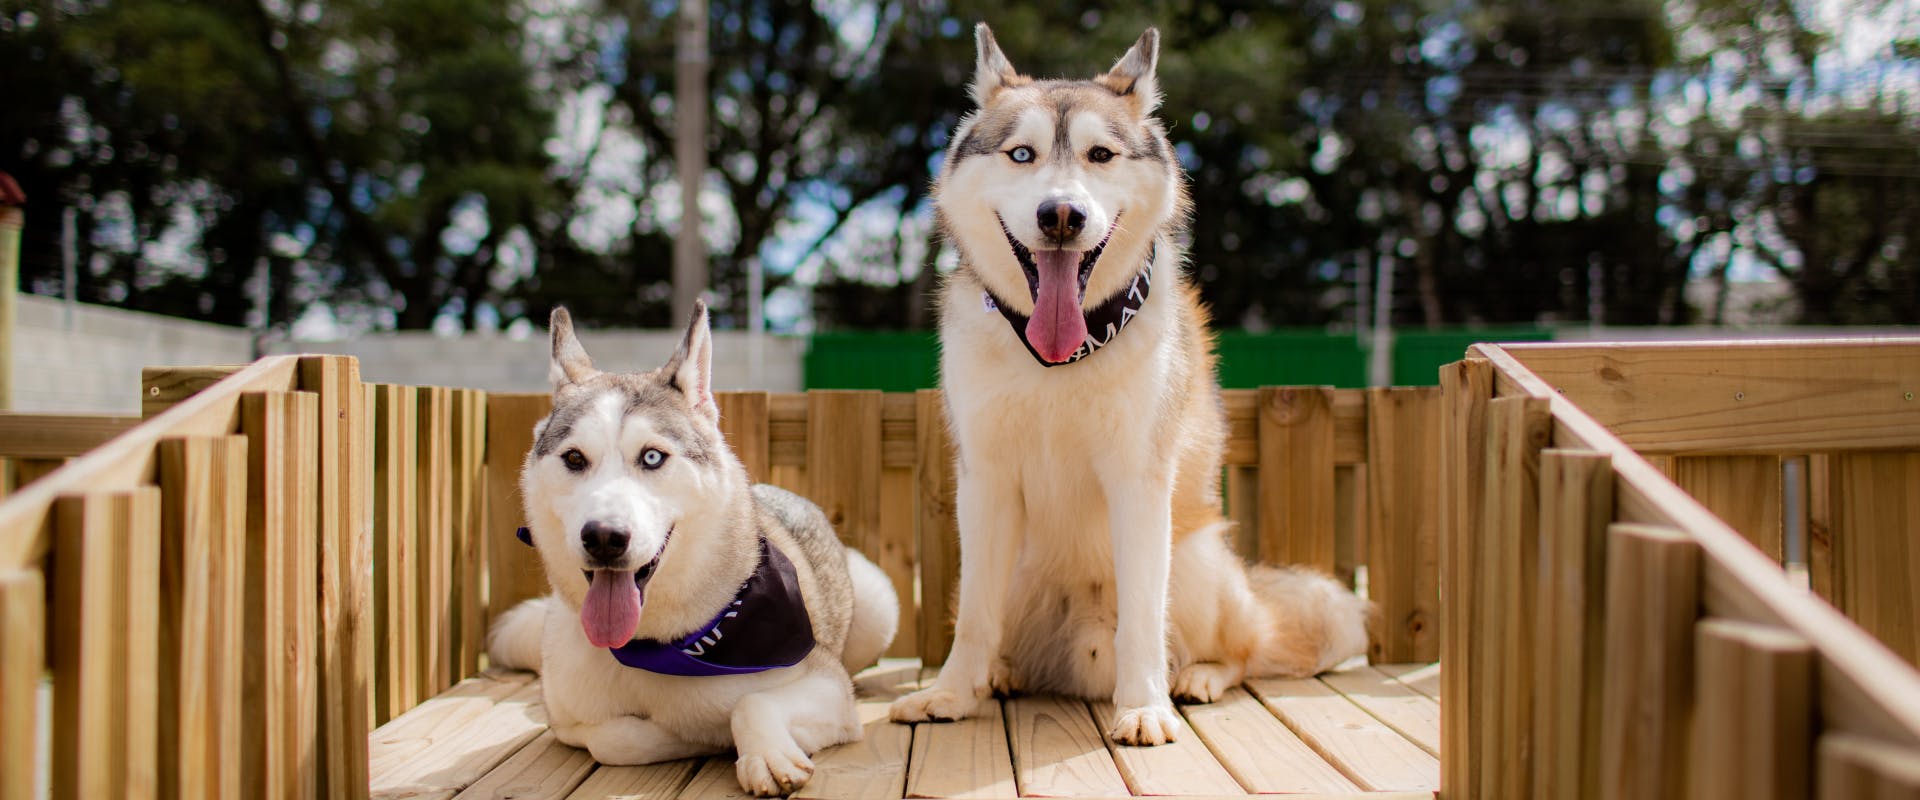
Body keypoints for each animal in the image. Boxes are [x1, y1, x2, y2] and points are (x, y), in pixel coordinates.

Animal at [483, 303, 894, 790]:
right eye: (575, 459)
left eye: (652, 457)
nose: (603, 537)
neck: (662, 645)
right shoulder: (565, 721)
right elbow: (615, 739)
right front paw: (686, 739)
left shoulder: (831, 688)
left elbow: (751, 703)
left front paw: (764, 753)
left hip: (878, 605)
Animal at [890, 26, 1374, 748]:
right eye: (1022, 153)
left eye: (1100, 155)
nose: (1062, 215)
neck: (1057, 361)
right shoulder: (984, 482)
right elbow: (974, 617)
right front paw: (952, 691)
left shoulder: (1139, 480)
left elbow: (1145, 617)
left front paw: (1145, 705)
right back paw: (1000, 673)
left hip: (1199, 558)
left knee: (1238, 650)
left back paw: (1197, 677)